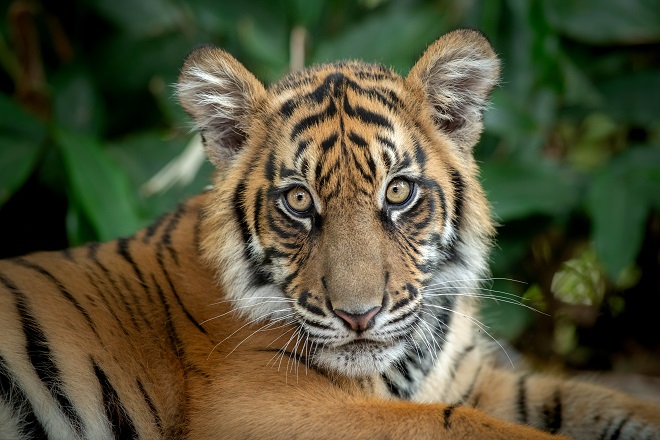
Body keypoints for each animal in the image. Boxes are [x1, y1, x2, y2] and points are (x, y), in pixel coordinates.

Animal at [1, 28, 659, 440]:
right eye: (298, 201)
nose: (358, 316)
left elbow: (594, 401)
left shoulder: (473, 377)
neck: (415, 358)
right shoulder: (259, 405)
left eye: (397, 192)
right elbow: (465, 427)